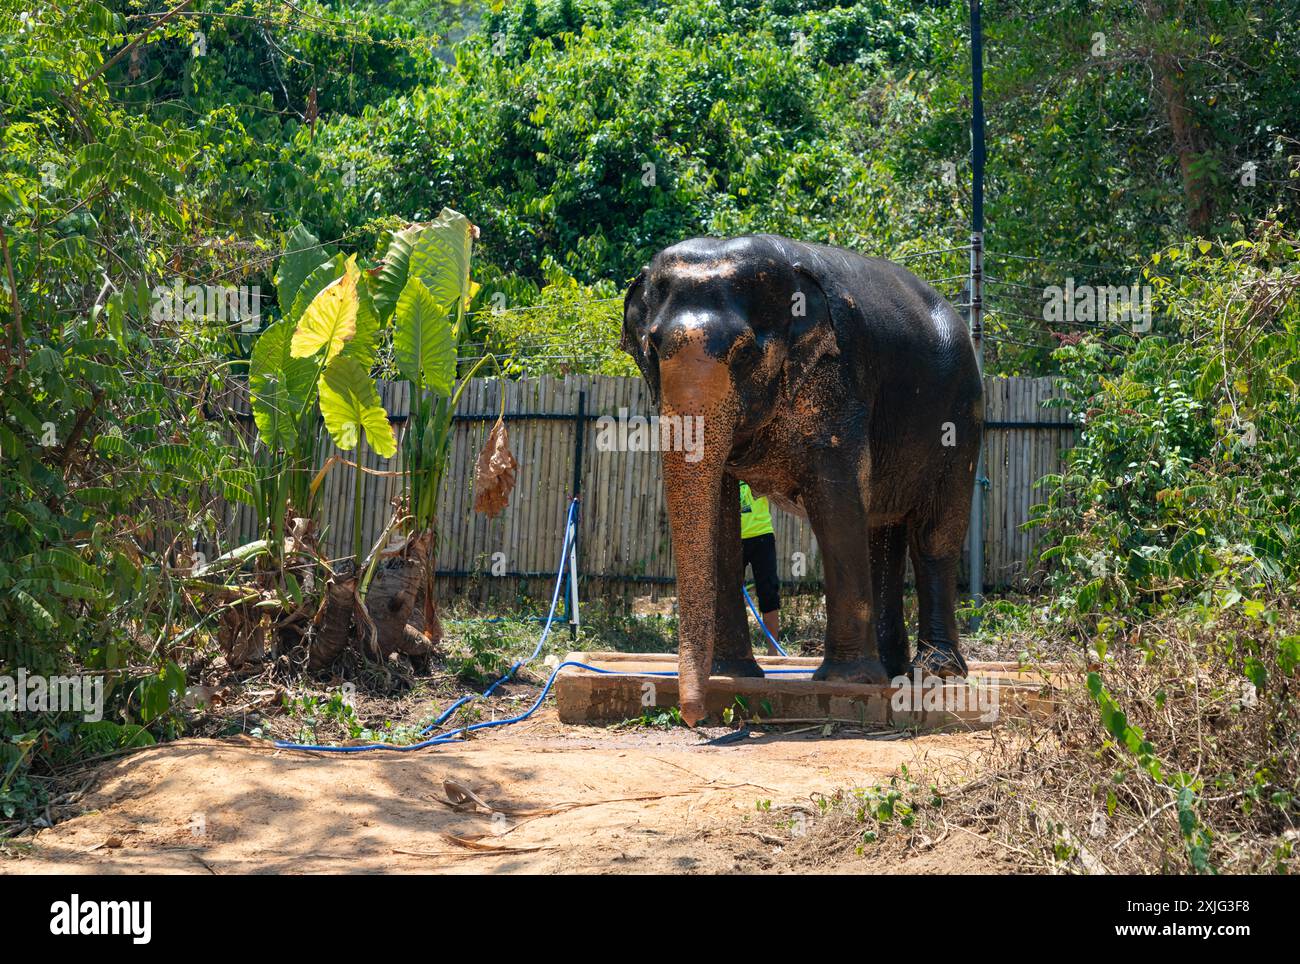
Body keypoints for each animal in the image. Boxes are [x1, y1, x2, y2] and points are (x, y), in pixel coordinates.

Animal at [621, 234, 983, 726]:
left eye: (745, 352)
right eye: (653, 348)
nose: (693, 718)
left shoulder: (840, 379)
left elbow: (835, 503)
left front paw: (847, 681)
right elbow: (721, 511)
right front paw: (734, 674)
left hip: (962, 415)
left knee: (934, 535)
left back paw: (936, 673)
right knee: (882, 533)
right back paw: (894, 671)